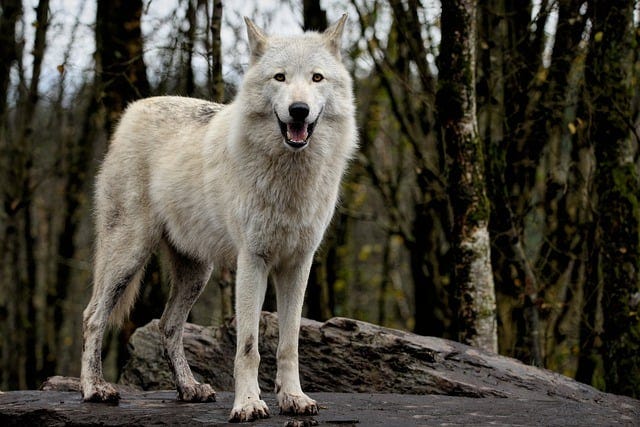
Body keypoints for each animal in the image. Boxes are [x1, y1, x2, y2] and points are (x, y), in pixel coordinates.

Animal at [80, 14, 356, 423]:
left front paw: (293, 398)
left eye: (317, 78)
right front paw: (249, 404)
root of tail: (132, 110)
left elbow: (289, 344)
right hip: (128, 256)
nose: (299, 110)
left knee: (168, 325)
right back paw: (94, 388)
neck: (290, 177)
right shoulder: (253, 262)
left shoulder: (298, 264)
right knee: (93, 316)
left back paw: (189, 388)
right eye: (280, 78)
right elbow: (248, 347)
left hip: (197, 272)